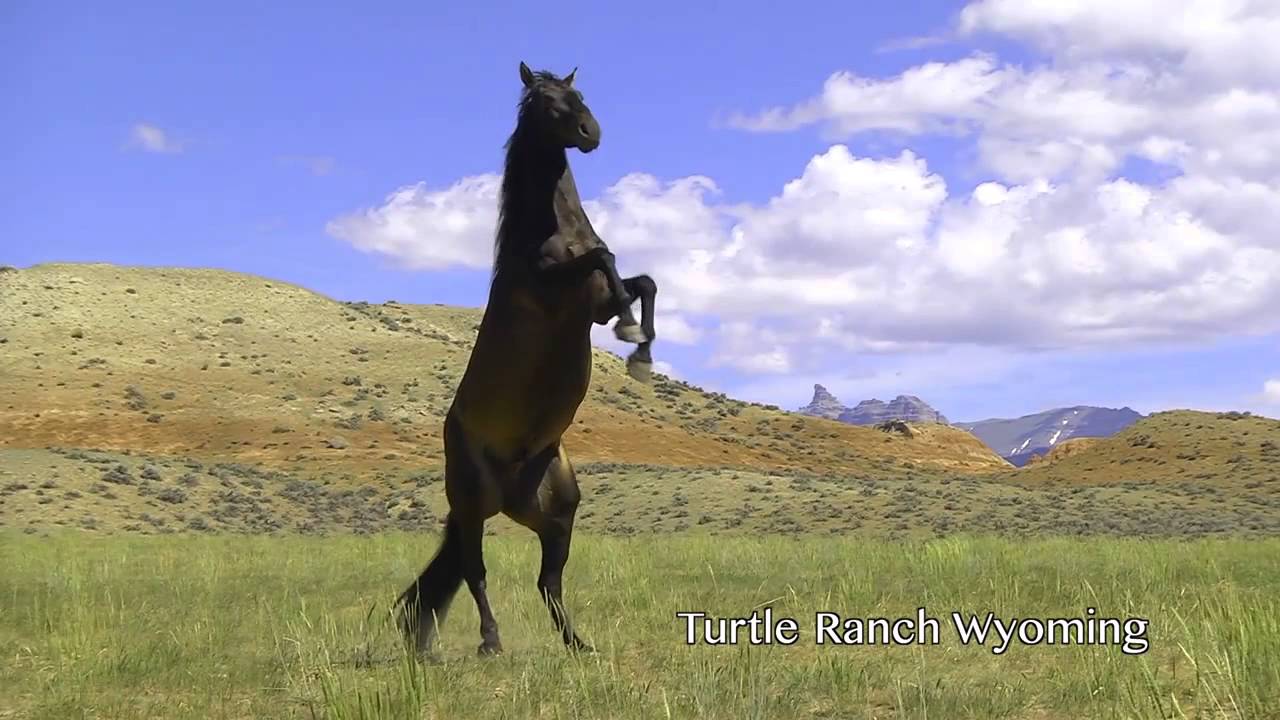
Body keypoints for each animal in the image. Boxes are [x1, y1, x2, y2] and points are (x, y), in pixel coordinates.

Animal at [394, 61, 658, 657]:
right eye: (542, 101)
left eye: (577, 93)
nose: (590, 132)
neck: (553, 233)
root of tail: (512, 493)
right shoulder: (560, 295)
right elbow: (606, 257)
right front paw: (634, 335)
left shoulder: (593, 307)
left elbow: (641, 282)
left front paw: (641, 347)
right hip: (472, 506)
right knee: (476, 572)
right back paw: (491, 642)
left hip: (557, 513)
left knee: (547, 581)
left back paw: (578, 644)